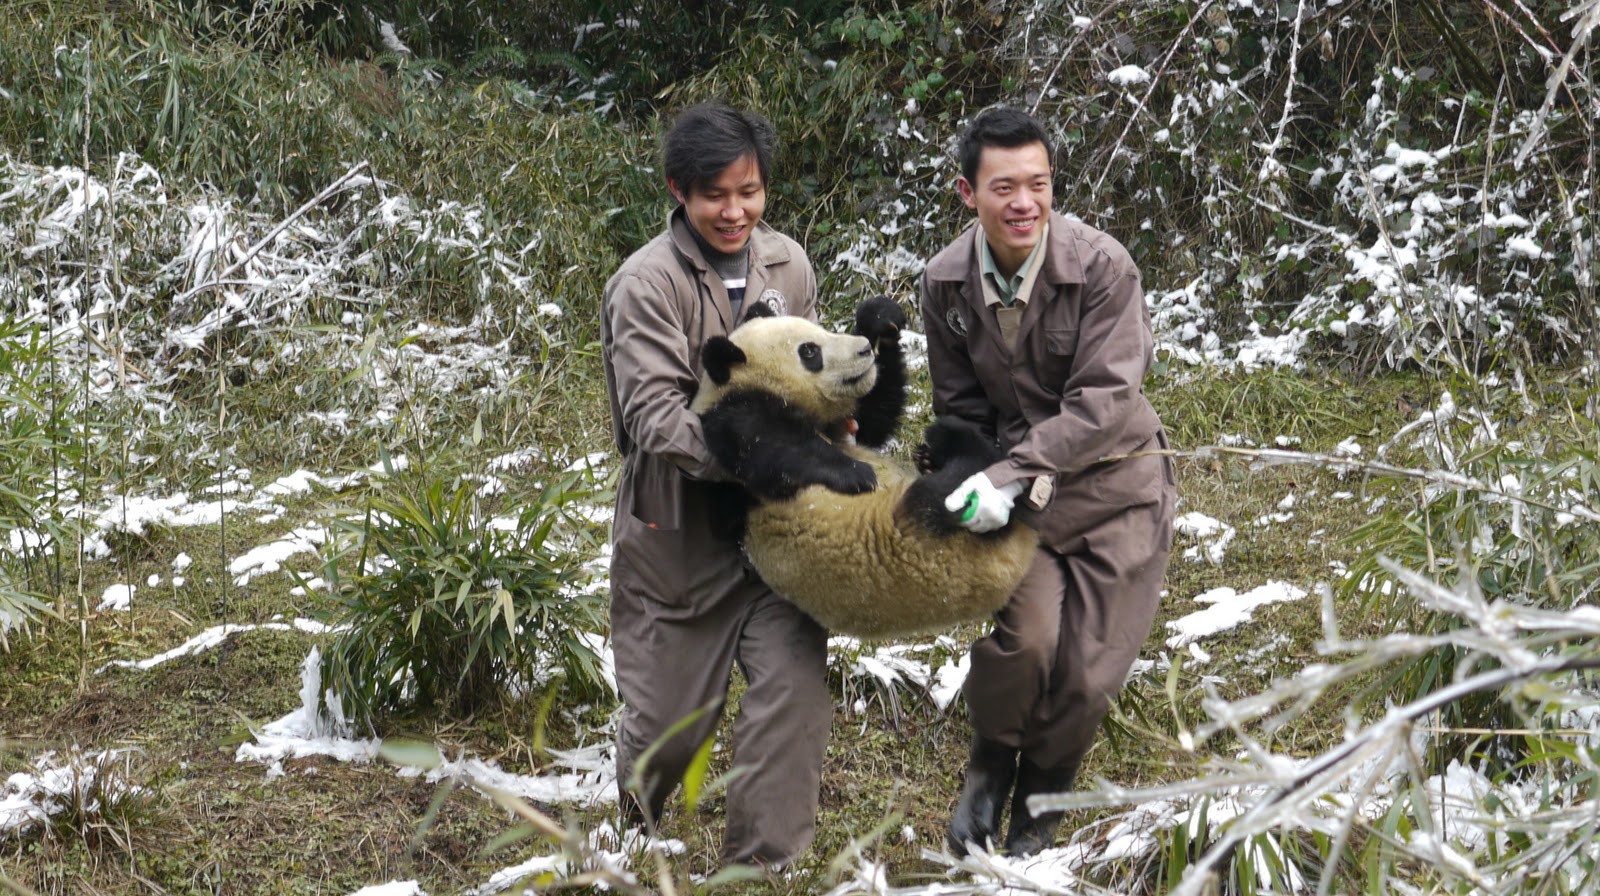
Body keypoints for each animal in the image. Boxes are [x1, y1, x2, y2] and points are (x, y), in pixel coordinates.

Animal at [689, 296, 1037, 640]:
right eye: (810, 351)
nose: (864, 349)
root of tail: (1019, 559)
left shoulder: (847, 422)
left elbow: (875, 414)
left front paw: (880, 321)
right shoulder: (729, 425)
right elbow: (770, 445)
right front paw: (857, 474)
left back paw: (931, 455)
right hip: (931, 535)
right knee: (948, 488)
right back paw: (951, 440)